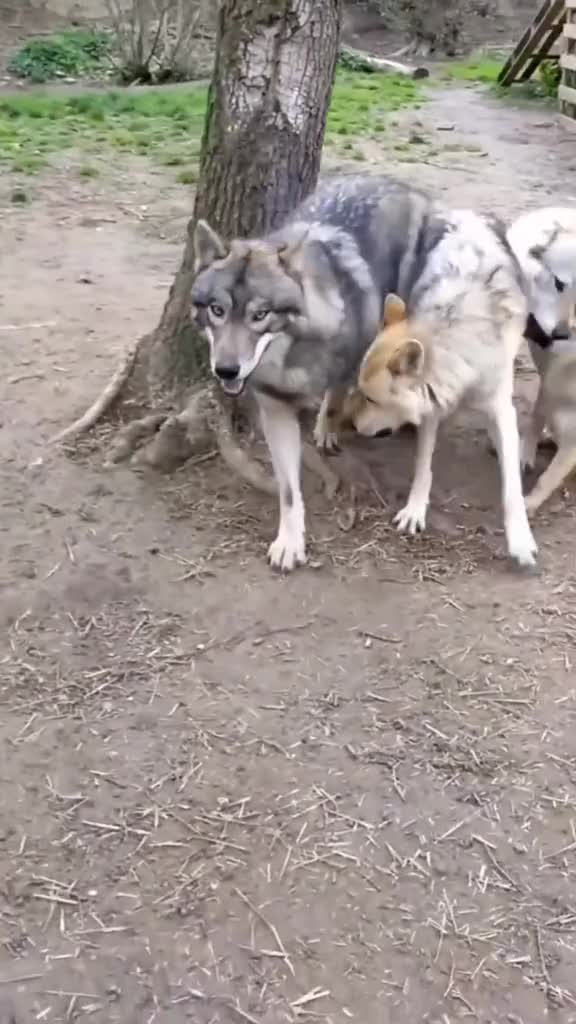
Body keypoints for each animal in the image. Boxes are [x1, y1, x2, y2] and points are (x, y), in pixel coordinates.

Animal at [191, 175, 536, 570]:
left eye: (260, 315)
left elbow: (510, 485)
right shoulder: (276, 408)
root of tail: (383, 178)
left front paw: (521, 540)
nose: (225, 369)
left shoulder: (494, 404)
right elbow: (290, 491)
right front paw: (290, 542)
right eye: (216, 310)